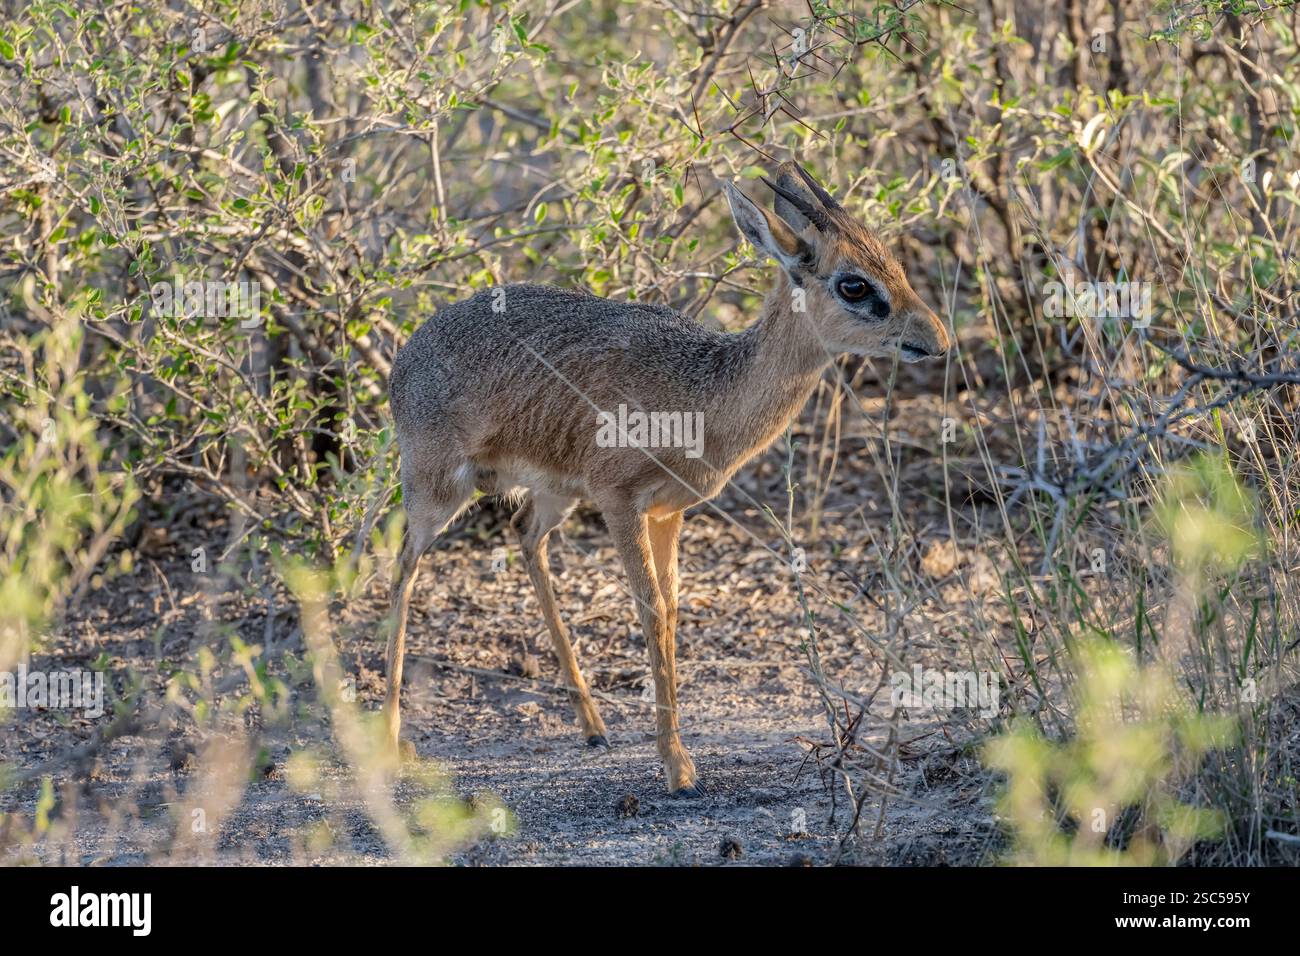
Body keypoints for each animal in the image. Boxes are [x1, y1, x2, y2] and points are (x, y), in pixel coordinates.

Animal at [384, 161, 951, 796]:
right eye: (854, 284)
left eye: (893, 262)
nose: (937, 340)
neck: (702, 392)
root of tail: (408, 349)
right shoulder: (619, 501)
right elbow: (650, 608)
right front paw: (677, 765)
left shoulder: (667, 510)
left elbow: (672, 609)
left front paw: (673, 752)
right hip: (437, 489)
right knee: (403, 565)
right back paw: (391, 739)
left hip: (552, 494)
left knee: (526, 536)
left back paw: (593, 726)